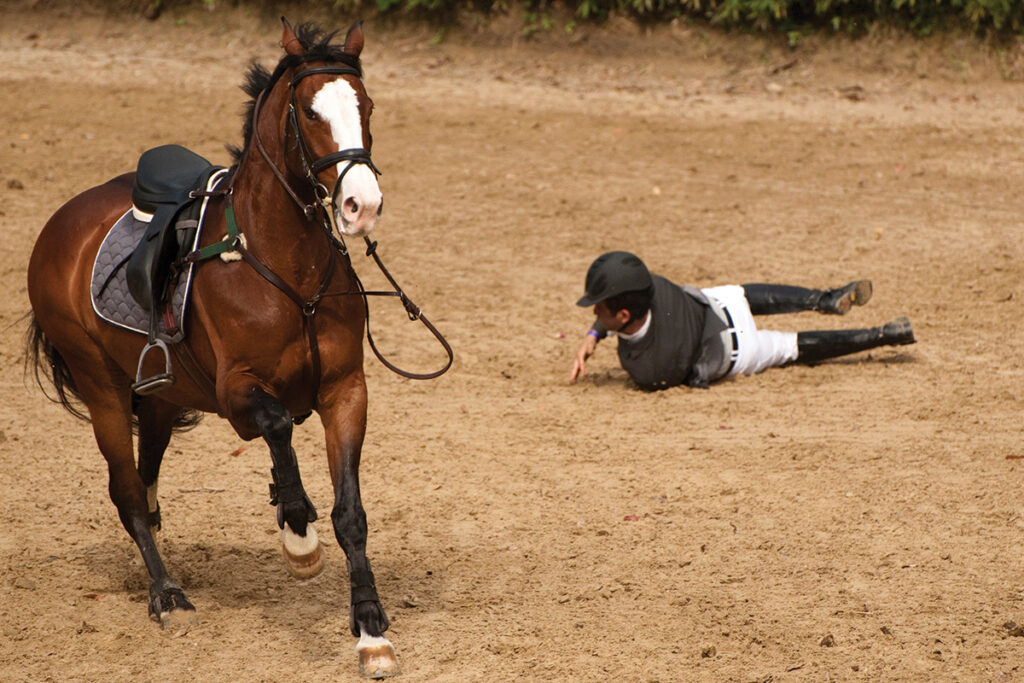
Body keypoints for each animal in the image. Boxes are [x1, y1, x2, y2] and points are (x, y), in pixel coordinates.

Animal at [26, 19, 404, 678]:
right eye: (310, 112)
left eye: (367, 107)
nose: (363, 206)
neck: (288, 269)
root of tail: (60, 223)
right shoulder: (237, 394)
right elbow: (279, 429)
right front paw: (298, 537)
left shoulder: (345, 391)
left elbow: (350, 514)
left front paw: (370, 631)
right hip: (101, 389)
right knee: (128, 492)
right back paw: (167, 595)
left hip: (156, 397)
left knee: (147, 483)